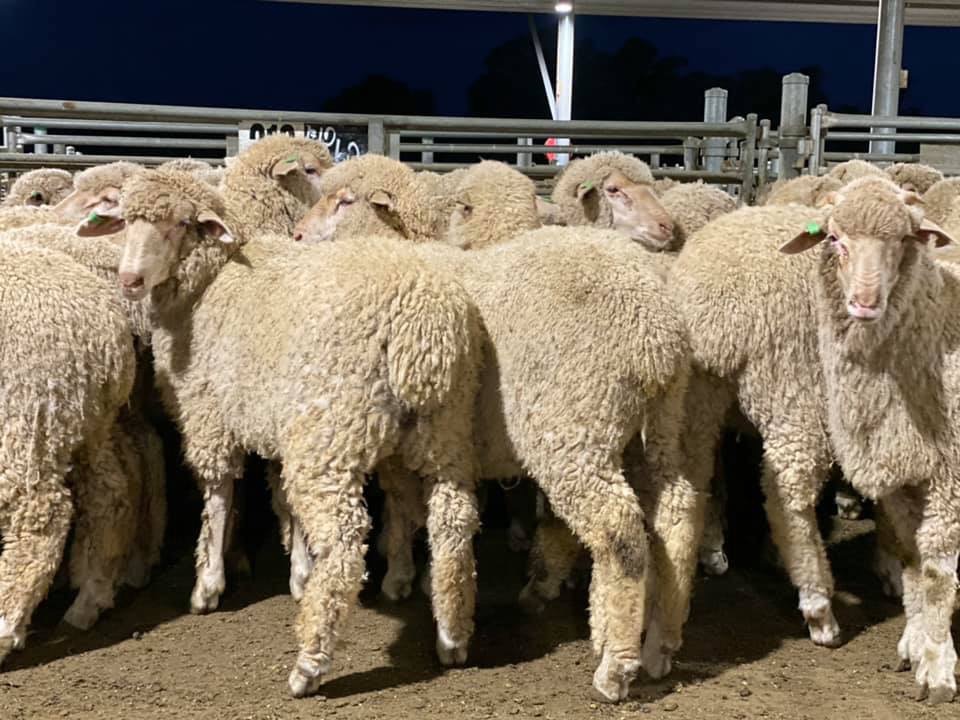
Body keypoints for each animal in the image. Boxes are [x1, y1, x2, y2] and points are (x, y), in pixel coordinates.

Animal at [0, 239, 136, 662]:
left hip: (26, 420)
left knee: (41, 520)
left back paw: (4, 631)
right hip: (89, 423)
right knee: (109, 493)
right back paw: (89, 599)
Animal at [84, 169, 482, 698]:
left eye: (181, 224)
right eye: (126, 220)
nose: (129, 279)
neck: (211, 283)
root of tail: (421, 322)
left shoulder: (209, 413)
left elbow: (218, 497)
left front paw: (208, 585)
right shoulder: (274, 416)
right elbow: (282, 497)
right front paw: (297, 573)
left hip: (329, 433)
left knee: (345, 540)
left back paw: (309, 664)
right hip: (445, 428)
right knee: (452, 521)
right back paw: (452, 636)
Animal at [296, 157, 693, 702]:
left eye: (344, 201)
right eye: (616, 191)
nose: (297, 234)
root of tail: (654, 326)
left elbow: (402, 508)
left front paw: (403, 579)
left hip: (573, 429)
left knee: (619, 533)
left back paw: (616, 667)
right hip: (656, 428)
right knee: (676, 512)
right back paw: (660, 646)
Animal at [779, 175, 960, 704]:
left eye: (902, 239)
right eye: (835, 239)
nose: (864, 302)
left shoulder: (949, 474)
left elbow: (936, 573)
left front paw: (938, 668)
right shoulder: (902, 473)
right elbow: (911, 559)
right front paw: (914, 645)